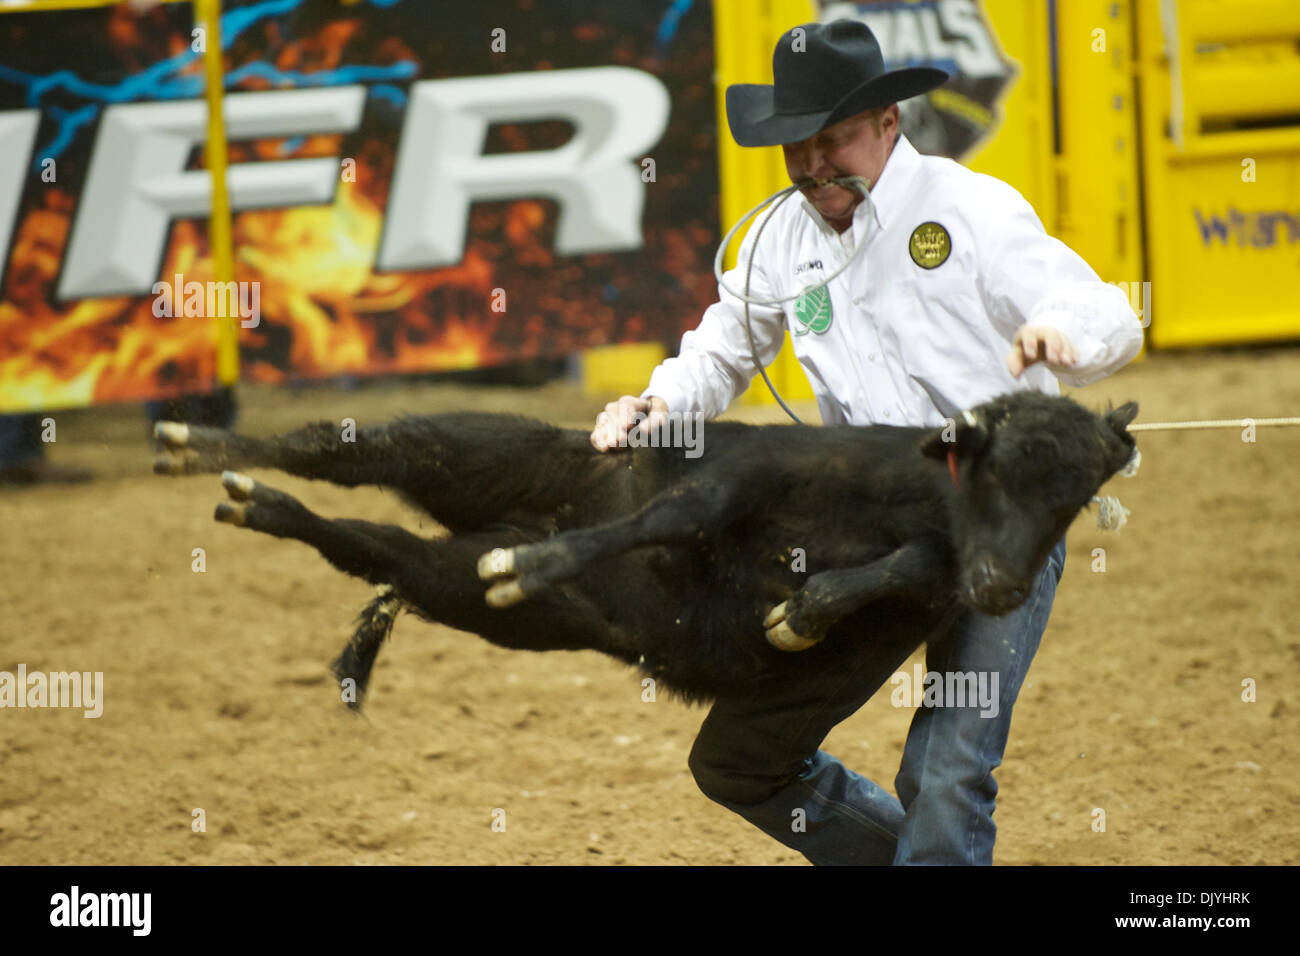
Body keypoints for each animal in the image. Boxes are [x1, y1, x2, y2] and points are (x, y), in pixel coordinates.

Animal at [153, 390, 1139, 709]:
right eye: (999, 469)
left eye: (1073, 498)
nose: (1003, 585)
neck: (905, 495)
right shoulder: (743, 479)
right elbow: (670, 518)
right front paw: (534, 567)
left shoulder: (933, 572)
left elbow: (904, 569)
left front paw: (802, 612)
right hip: (477, 448)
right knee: (331, 448)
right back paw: (196, 445)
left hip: (448, 573)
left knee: (366, 541)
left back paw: (257, 506)